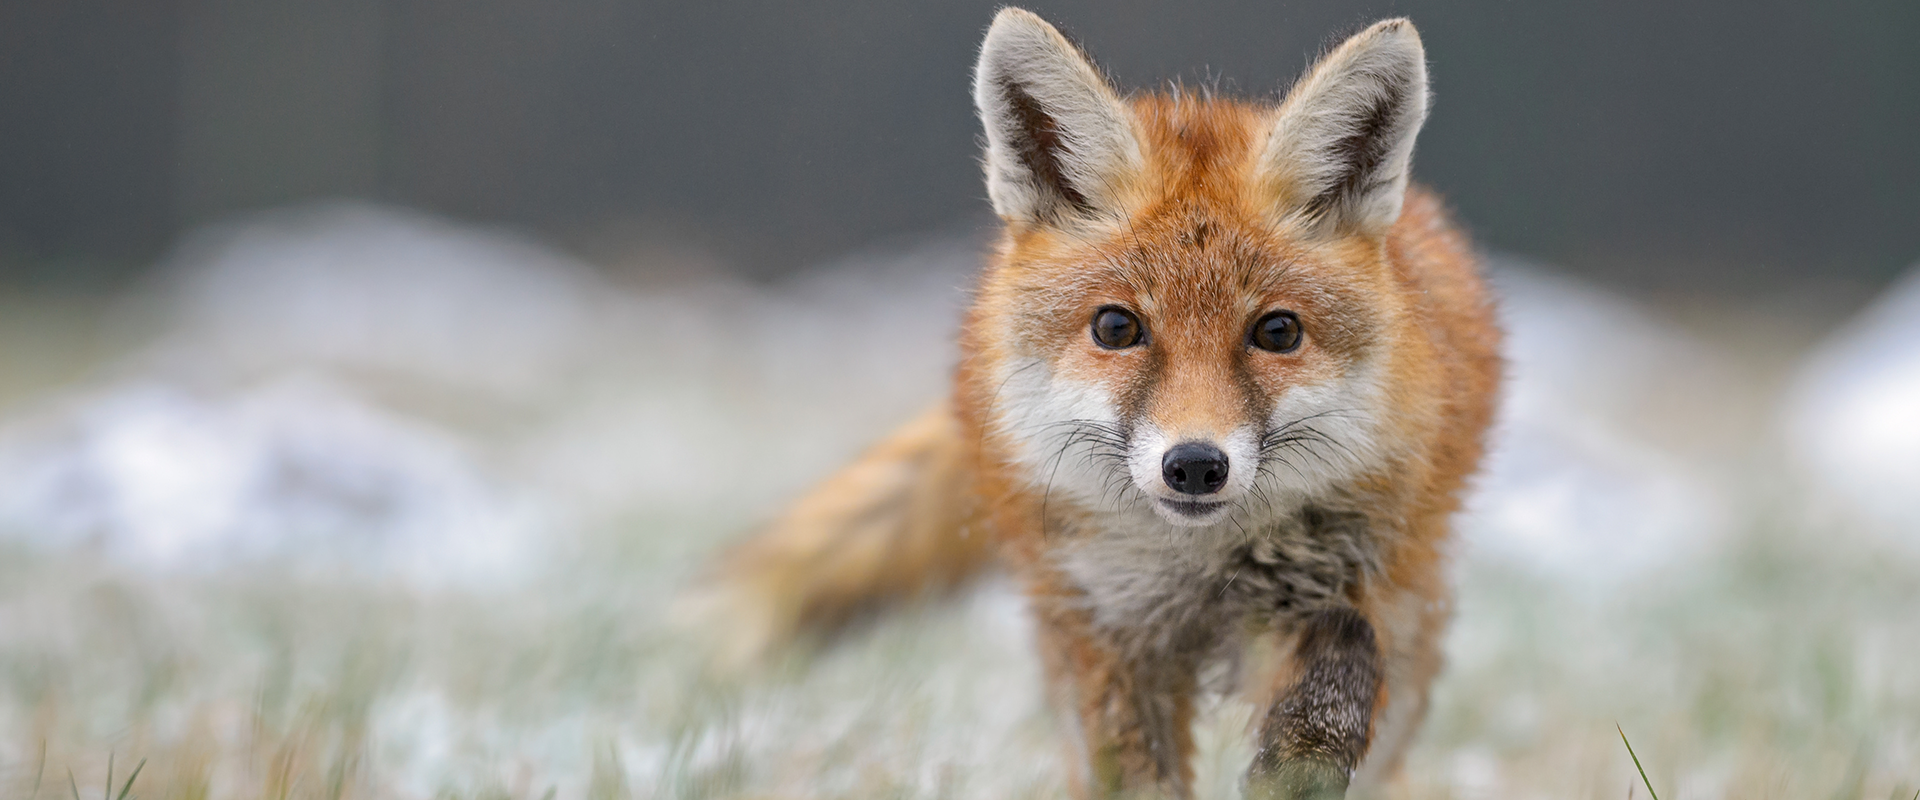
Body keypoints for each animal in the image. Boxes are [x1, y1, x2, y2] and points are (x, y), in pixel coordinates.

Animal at [690, 9, 1500, 800]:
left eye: (1277, 332)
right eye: (1117, 328)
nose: (1195, 466)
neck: (1200, 569)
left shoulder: (1346, 585)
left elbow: (1339, 676)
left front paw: (1298, 761)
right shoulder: (1106, 630)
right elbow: (1132, 775)